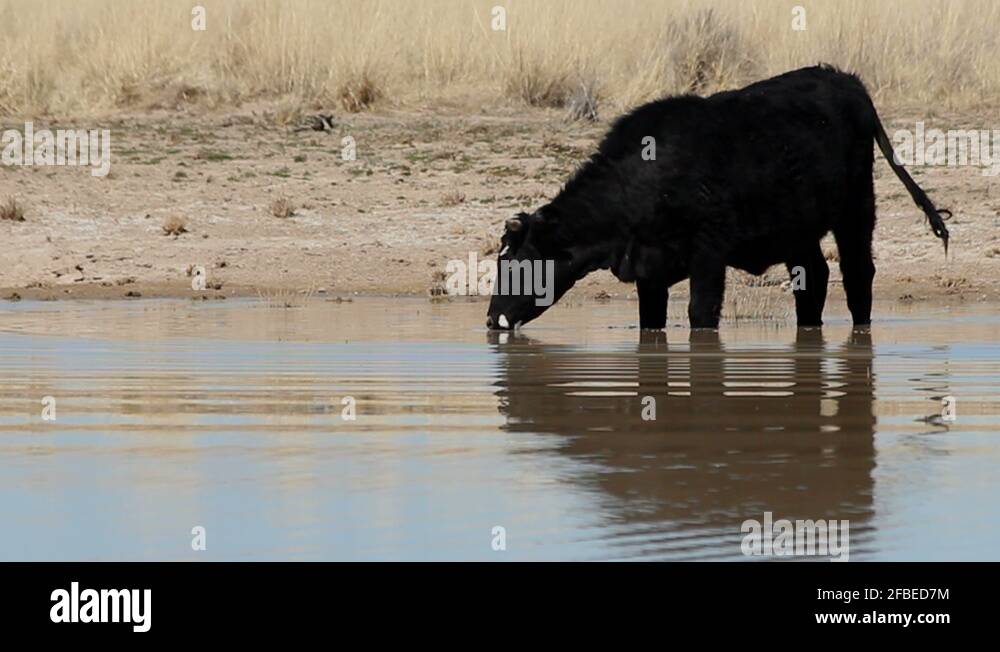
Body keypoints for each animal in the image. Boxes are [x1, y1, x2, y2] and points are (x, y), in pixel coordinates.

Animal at [485, 65, 951, 331]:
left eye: (520, 262)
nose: (491, 318)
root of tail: (848, 81)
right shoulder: (649, 270)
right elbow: (650, 322)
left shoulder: (709, 252)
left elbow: (701, 312)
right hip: (796, 228)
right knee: (813, 278)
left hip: (856, 210)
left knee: (857, 274)